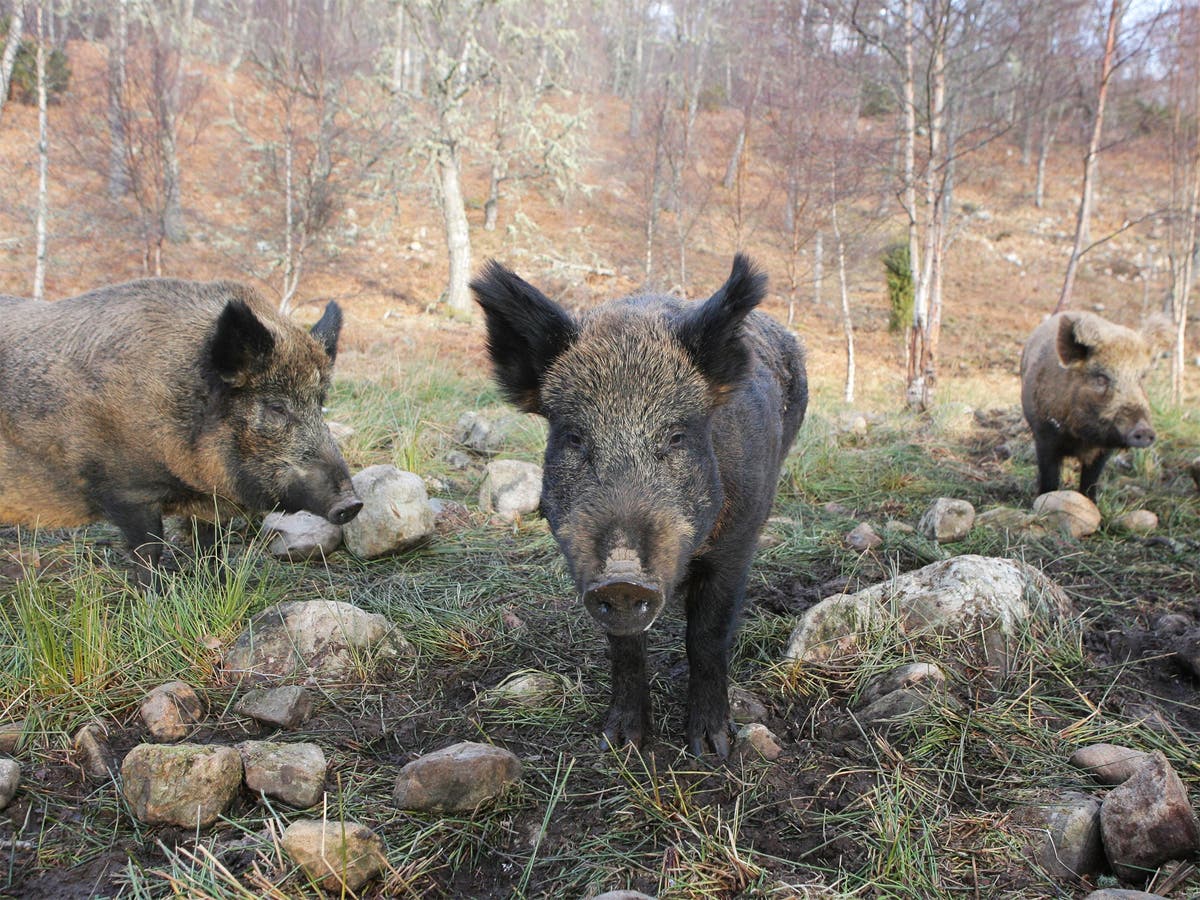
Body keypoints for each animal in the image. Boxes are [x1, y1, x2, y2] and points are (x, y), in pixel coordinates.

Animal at [0, 278, 362, 583]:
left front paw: (218, 585)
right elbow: (148, 549)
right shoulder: (126, 490)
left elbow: (210, 546)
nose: (352, 503)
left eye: (320, 401)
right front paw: (152, 599)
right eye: (276, 407)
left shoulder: (208, 503)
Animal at [473, 254, 807, 757]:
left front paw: (712, 749)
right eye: (575, 437)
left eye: (677, 436)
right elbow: (624, 648)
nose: (623, 579)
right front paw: (621, 744)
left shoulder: (738, 540)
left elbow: (707, 636)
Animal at [1020, 310, 1155, 500]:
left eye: (1141, 379)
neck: (1082, 439)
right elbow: (1049, 478)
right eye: (1101, 378)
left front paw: (1091, 502)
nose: (1144, 430)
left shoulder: (1103, 450)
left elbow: (1091, 480)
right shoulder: (1044, 435)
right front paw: (1043, 499)